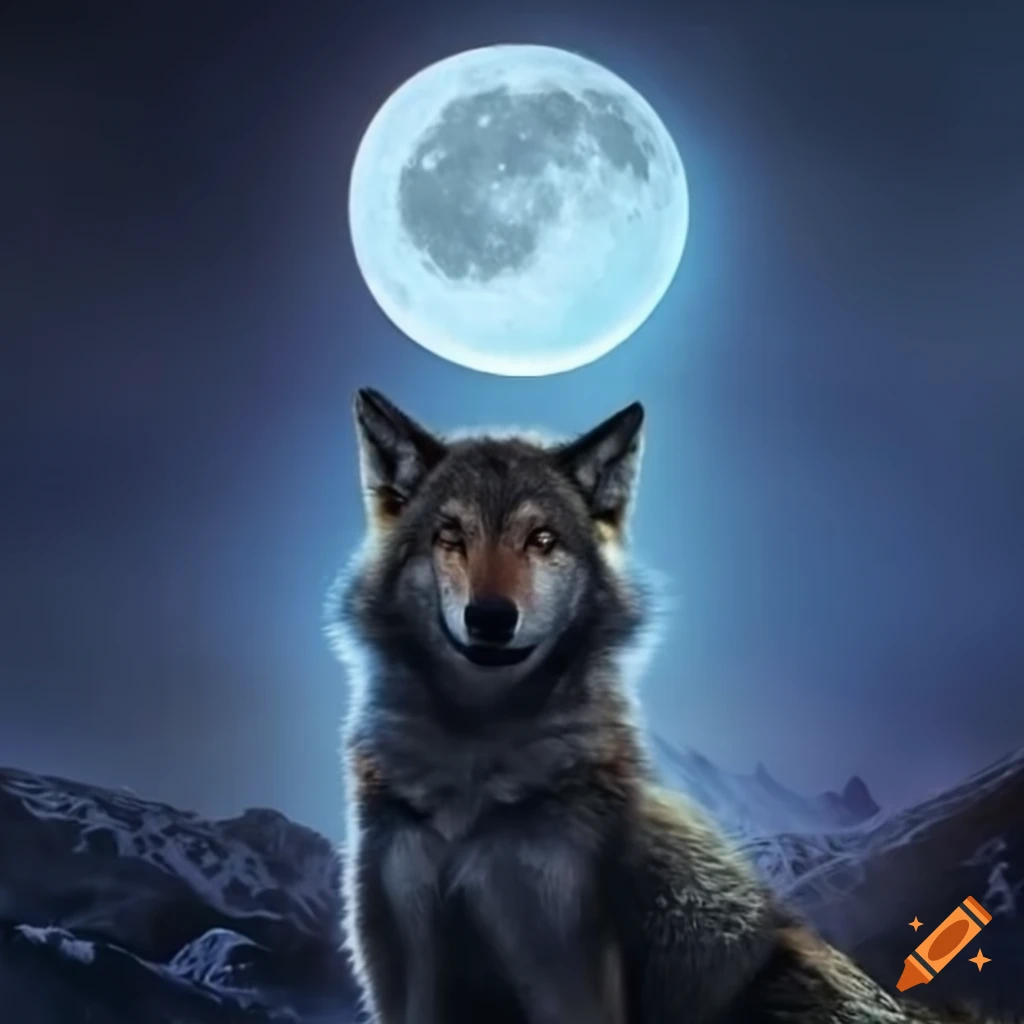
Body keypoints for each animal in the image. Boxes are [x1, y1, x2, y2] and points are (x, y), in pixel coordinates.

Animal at [329, 388, 1004, 1024]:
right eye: (451, 537)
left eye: (541, 540)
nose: (491, 618)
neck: (475, 756)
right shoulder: (404, 967)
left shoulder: (563, 964)